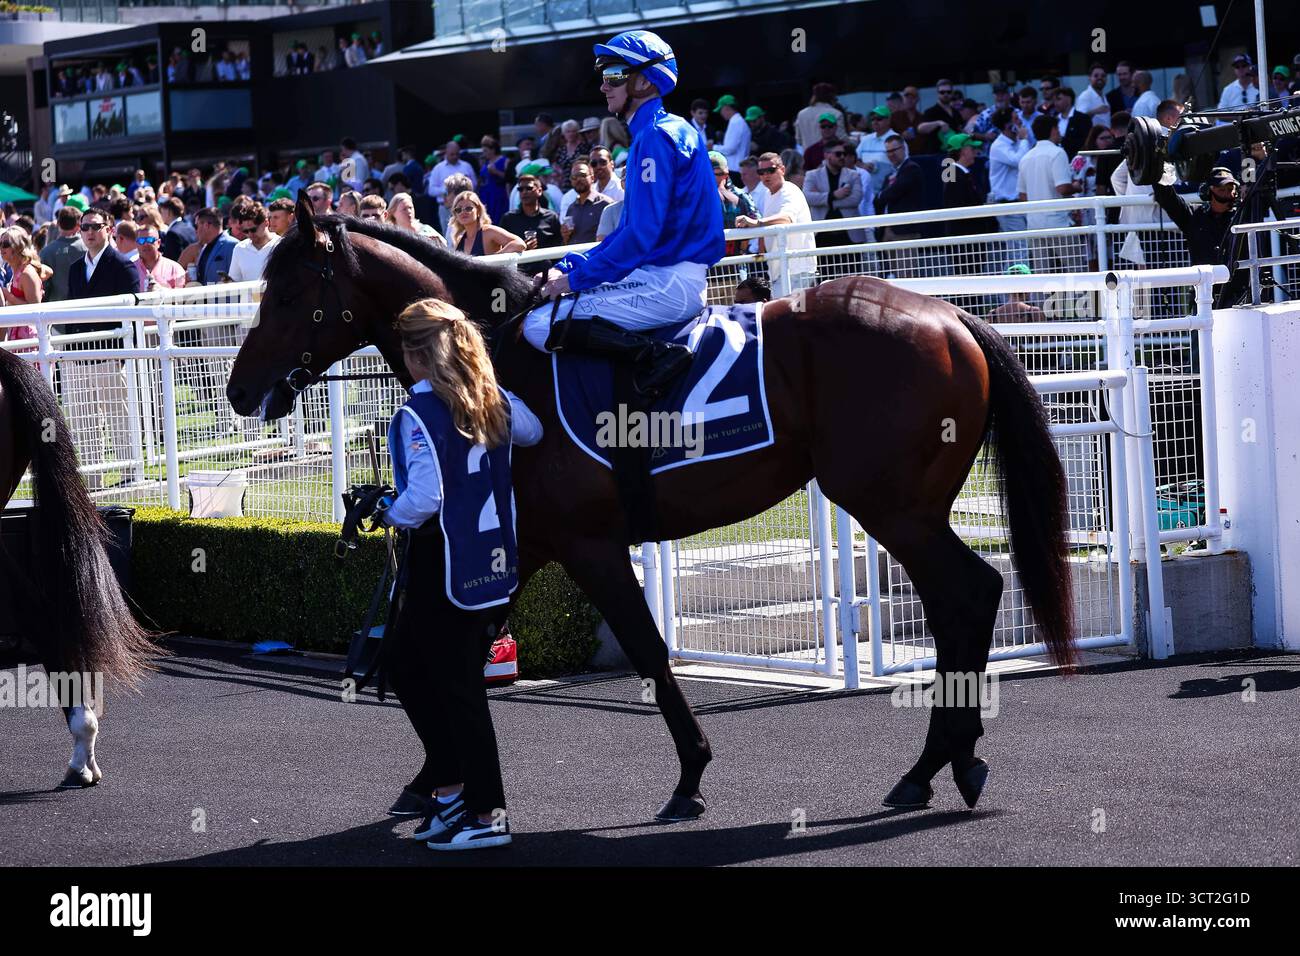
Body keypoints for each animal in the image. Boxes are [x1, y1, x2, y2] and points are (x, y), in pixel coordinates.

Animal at [227, 196, 1074, 819]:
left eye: (288, 292)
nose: (237, 389)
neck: (493, 360)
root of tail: (951, 315)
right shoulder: (524, 542)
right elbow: (437, 646)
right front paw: (435, 776)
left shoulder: (587, 543)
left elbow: (646, 649)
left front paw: (690, 778)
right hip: (909, 507)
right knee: (963, 601)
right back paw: (943, 764)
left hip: (892, 505)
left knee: (970, 593)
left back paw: (938, 763)